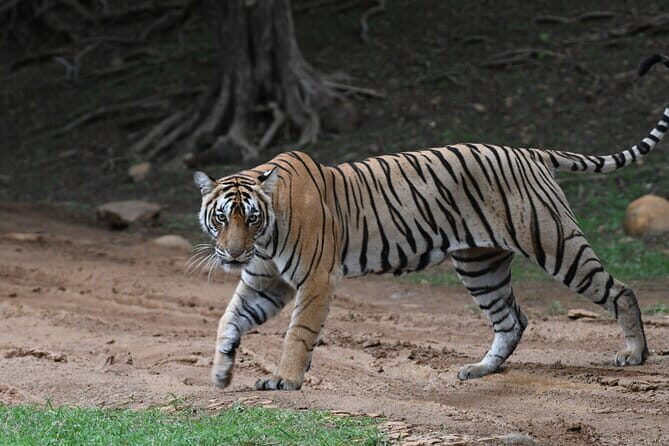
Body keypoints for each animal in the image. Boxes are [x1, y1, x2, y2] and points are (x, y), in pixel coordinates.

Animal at [193, 54, 668, 391]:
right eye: (222, 219)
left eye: (251, 219)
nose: (232, 254)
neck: (266, 239)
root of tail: (530, 151)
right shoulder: (263, 280)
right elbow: (228, 320)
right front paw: (220, 373)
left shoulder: (316, 278)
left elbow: (299, 332)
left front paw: (285, 379)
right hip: (480, 265)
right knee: (511, 319)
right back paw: (480, 369)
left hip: (555, 243)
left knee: (620, 290)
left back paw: (634, 354)